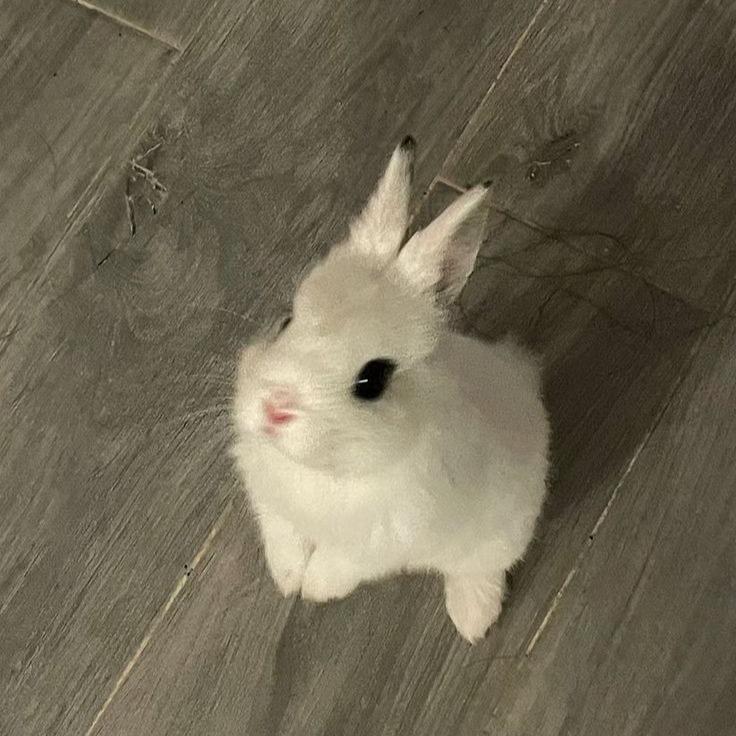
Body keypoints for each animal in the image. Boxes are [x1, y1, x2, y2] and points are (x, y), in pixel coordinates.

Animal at [232, 137, 550, 642]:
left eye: (372, 380)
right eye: (286, 320)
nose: (274, 409)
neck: (328, 469)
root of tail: (521, 378)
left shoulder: (377, 547)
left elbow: (337, 566)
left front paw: (314, 589)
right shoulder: (272, 503)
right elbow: (286, 541)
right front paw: (287, 579)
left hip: (497, 535)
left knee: (480, 569)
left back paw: (473, 618)